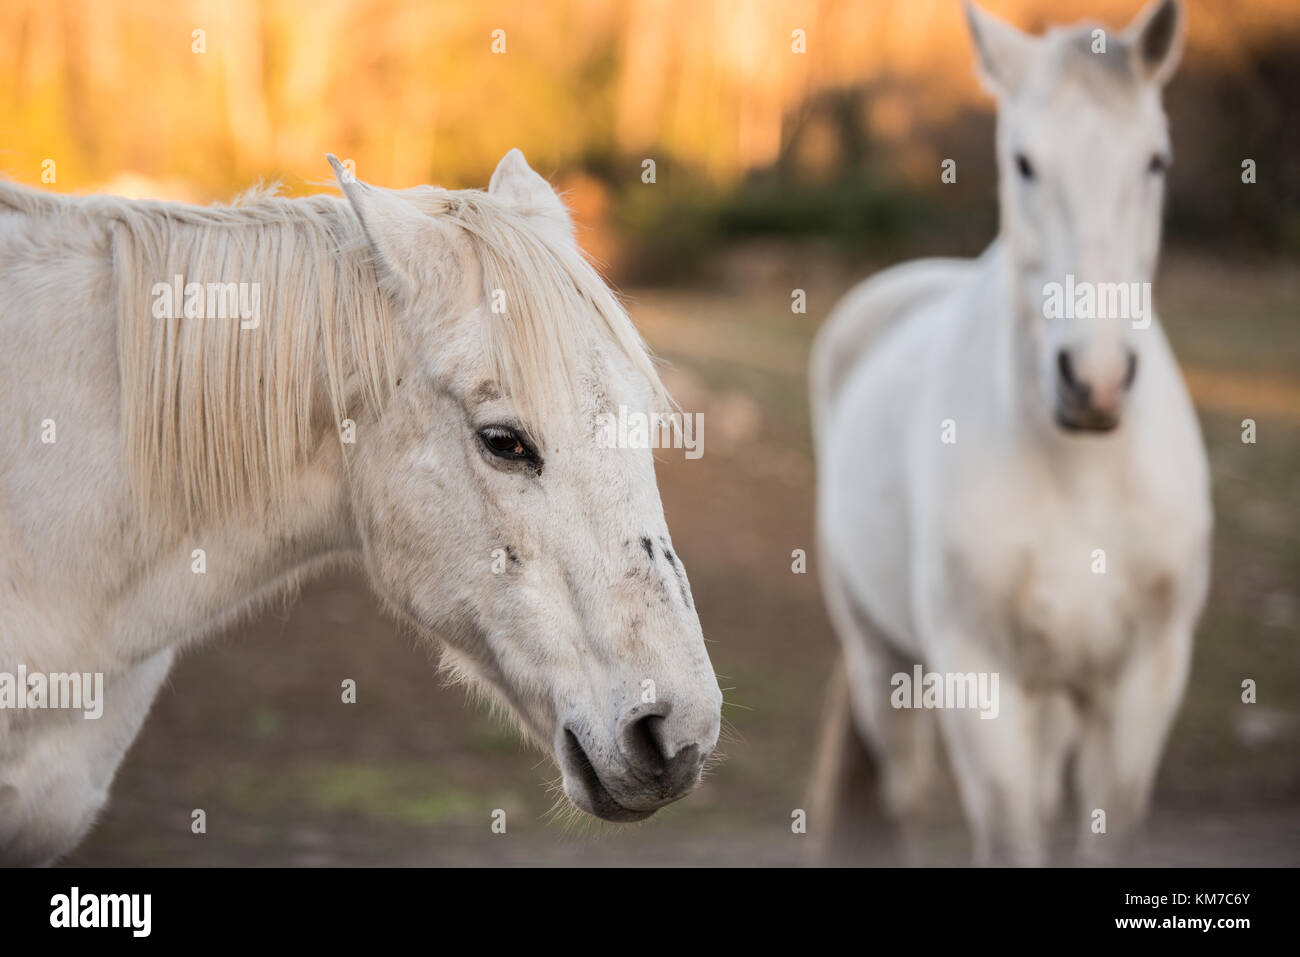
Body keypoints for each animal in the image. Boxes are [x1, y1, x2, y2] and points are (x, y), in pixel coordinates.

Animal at [808, 0, 1211, 866]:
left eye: (1155, 161)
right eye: (1024, 163)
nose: (1094, 380)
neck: (1080, 470)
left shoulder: (1142, 684)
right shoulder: (982, 684)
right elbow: (1009, 833)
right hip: (883, 662)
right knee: (905, 799)